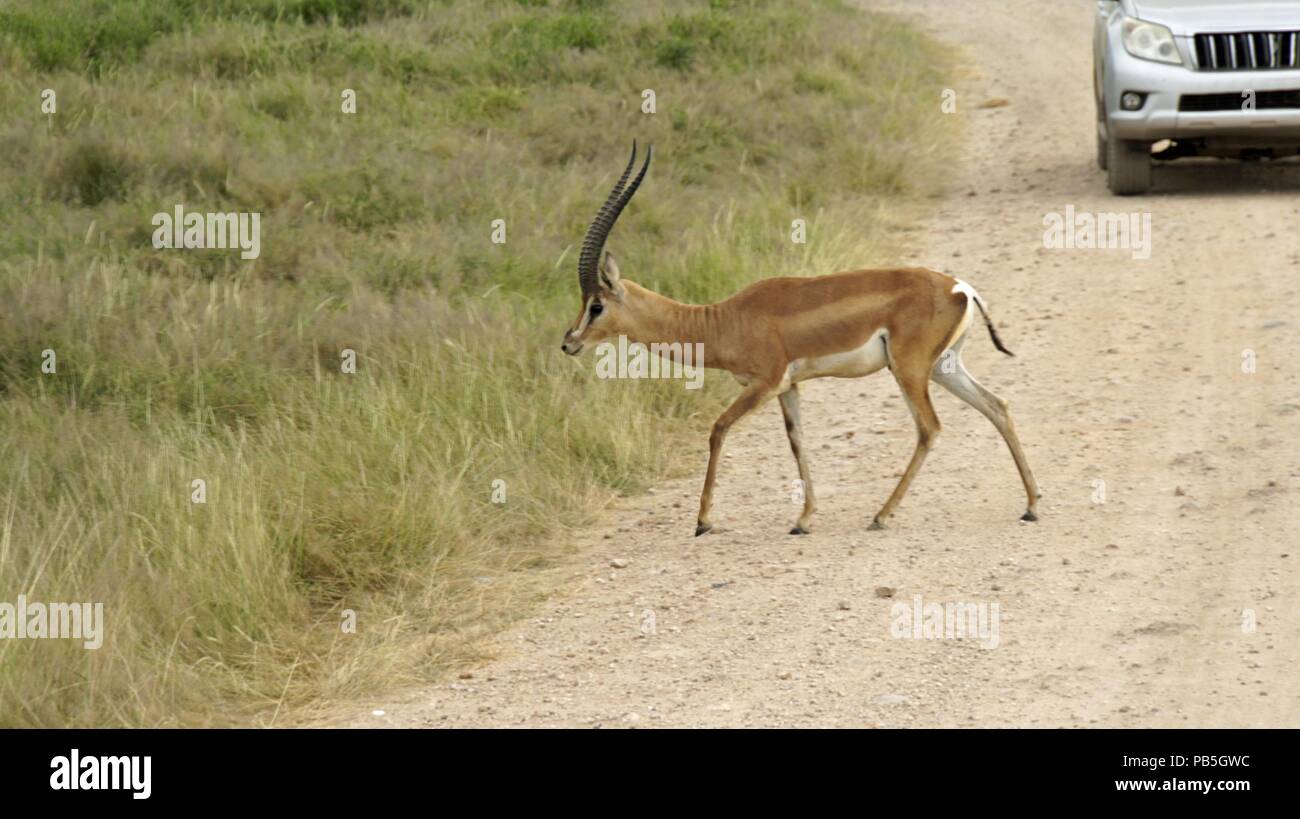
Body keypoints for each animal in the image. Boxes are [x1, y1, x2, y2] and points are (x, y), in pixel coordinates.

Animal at [561, 144, 1041, 536]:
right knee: (997, 406)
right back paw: (1032, 506)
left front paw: (703, 521)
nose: (569, 342)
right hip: (942, 367)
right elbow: (797, 442)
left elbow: (718, 430)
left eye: (596, 305)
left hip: (909, 370)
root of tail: (959, 287)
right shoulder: (788, 388)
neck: (723, 320)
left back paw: (881, 515)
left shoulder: (764, 383)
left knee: (930, 427)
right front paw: (803, 520)